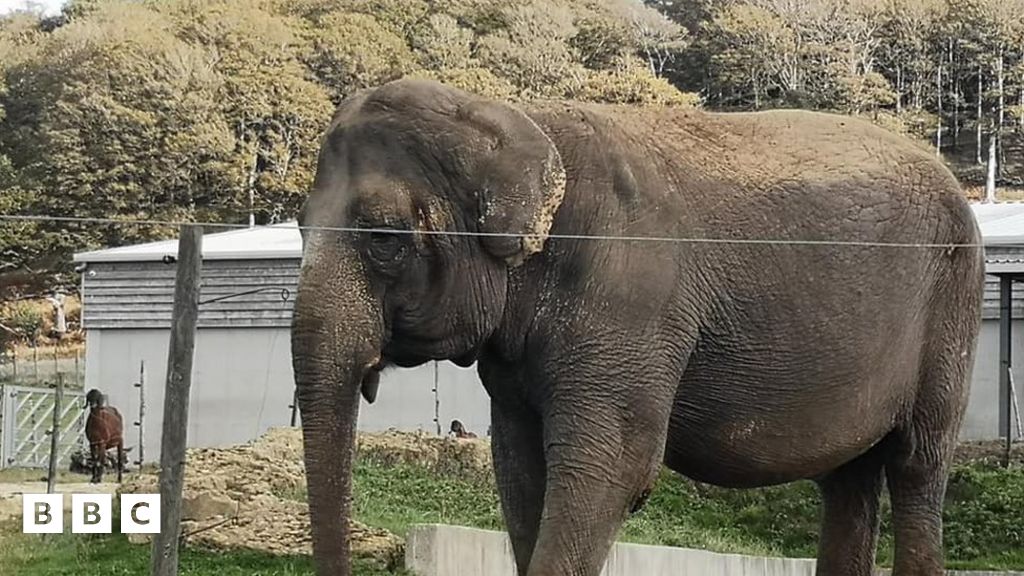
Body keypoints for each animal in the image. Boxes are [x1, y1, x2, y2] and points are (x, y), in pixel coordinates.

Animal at [289, 77, 985, 576]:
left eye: (383, 239)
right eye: (299, 227)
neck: (519, 120)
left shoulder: (630, 299)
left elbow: (612, 469)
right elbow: (518, 468)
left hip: (954, 307)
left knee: (917, 466)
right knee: (848, 480)